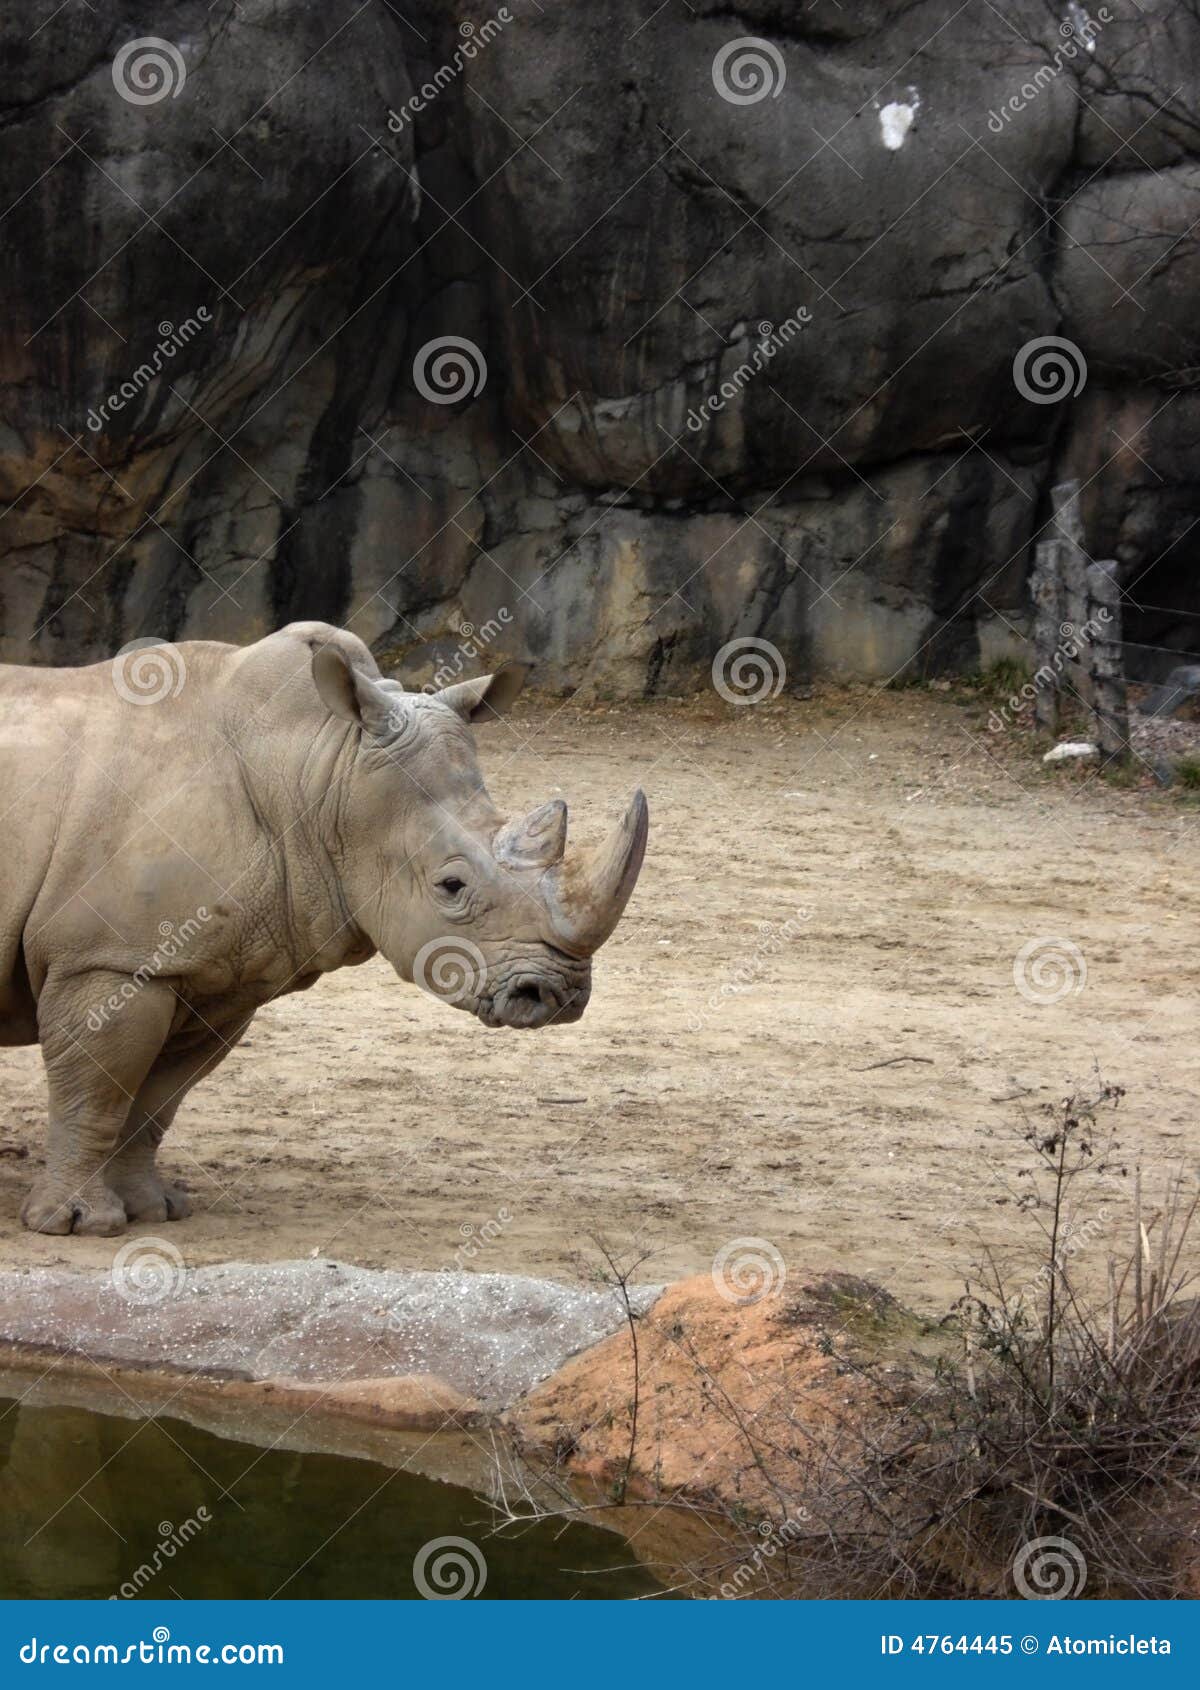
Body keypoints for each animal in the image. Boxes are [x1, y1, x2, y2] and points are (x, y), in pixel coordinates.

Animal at [0, 622, 647, 1236]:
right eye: (451, 887)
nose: (559, 995)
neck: (322, 774)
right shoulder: (109, 958)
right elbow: (97, 1092)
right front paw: (81, 1225)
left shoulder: (212, 972)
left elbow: (158, 1101)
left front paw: (156, 1211)